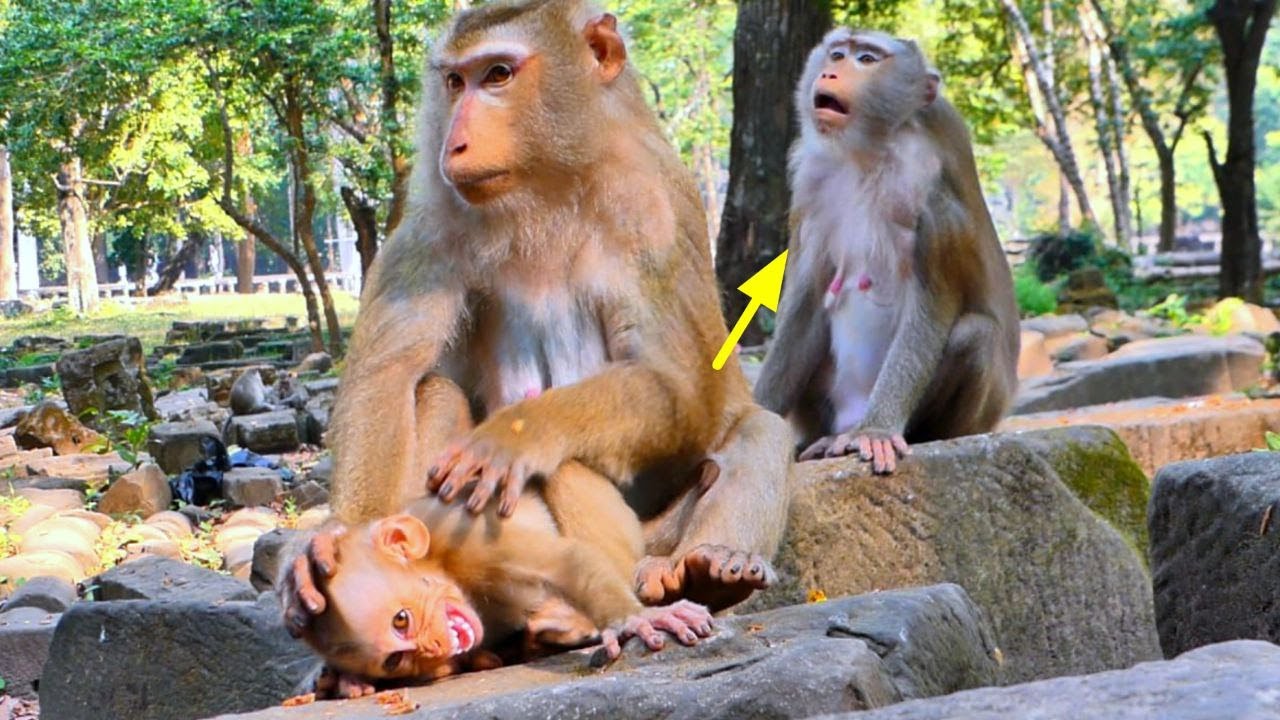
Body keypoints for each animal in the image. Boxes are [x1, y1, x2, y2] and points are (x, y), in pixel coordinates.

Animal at [277, 0, 794, 635]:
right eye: (456, 82)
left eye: (498, 75)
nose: (455, 144)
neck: (545, 191)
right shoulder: (433, 219)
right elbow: (390, 371)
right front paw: (344, 536)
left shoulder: (654, 213)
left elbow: (679, 390)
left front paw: (518, 434)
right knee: (434, 389)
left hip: (656, 534)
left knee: (759, 428)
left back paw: (708, 569)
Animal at [753, 29, 1020, 475]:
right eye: (837, 54)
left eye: (866, 59)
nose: (830, 71)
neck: (868, 154)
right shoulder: (811, 184)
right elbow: (807, 304)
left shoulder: (932, 194)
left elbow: (932, 305)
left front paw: (877, 431)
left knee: (975, 334)